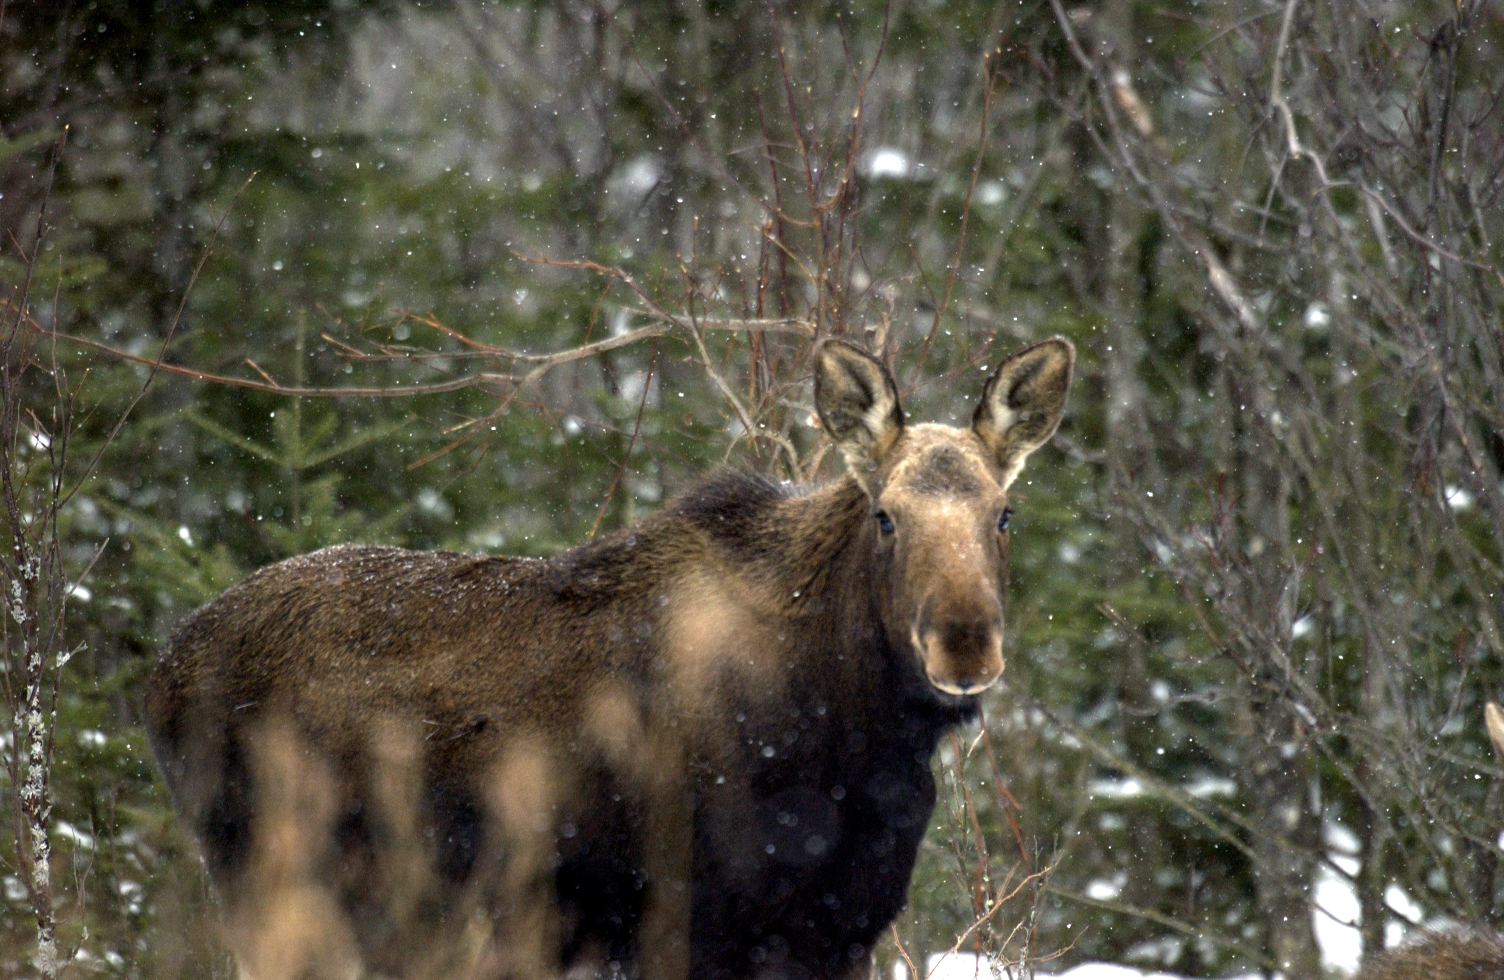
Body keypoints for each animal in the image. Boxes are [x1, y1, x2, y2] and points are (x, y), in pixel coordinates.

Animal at [144, 337, 1075, 980]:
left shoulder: (842, 925)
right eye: (886, 515)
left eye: (1003, 514)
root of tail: (164, 669)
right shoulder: (692, 919)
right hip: (278, 886)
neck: (864, 740)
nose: (964, 642)